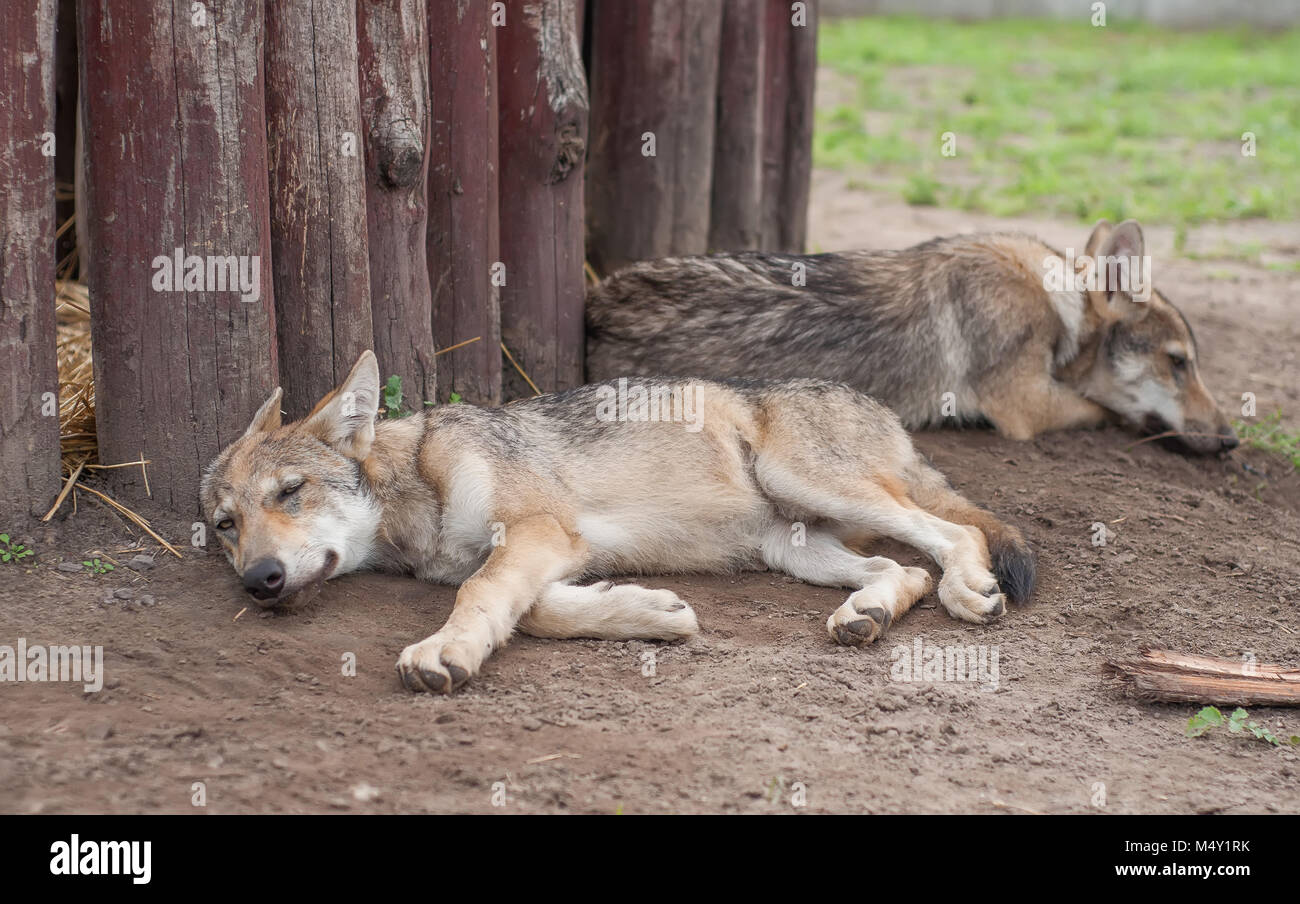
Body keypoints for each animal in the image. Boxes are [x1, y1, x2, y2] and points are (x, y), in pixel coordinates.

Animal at [201, 351, 1035, 695]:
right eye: (224, 525)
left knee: (954, 537)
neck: (419, 483)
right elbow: (534, 611)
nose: (259, 581)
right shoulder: (557, 550)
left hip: (813, 484)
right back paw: (868, 614)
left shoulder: (542, 534)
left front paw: (445, 651)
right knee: (905, 568)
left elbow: (481, 597)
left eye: (290, 492)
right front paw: (648, 612)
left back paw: (969, 589)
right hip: (794, 549)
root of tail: (879, 408)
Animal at [587, 219, 1238, 455]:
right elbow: (1103, 411)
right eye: (1179, 363)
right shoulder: (1027, 406)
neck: (1060, 305)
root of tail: (591, 306)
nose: (1233, 441)